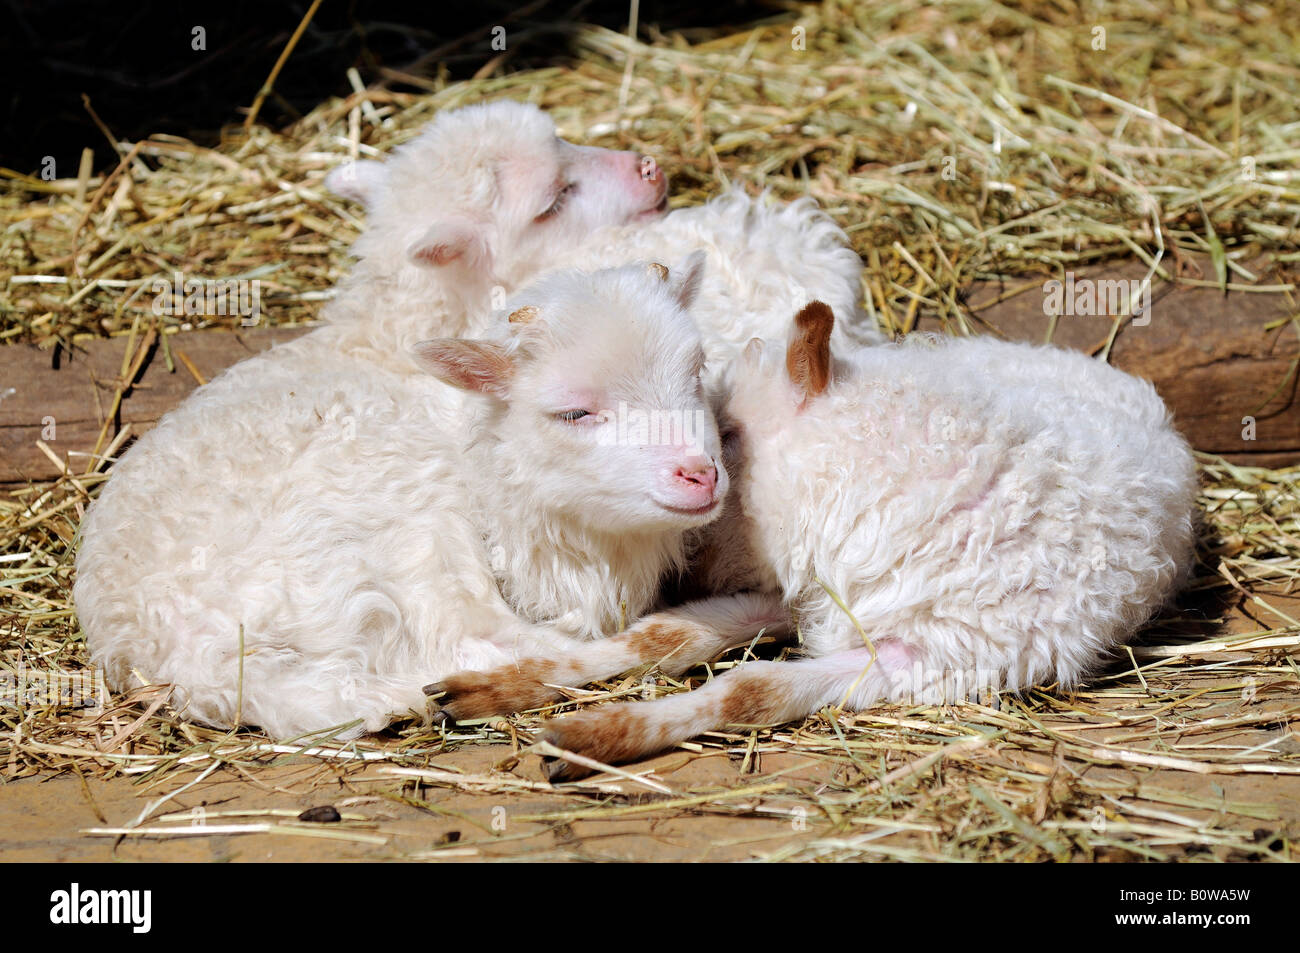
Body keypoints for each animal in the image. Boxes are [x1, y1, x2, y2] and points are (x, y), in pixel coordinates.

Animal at [430, 303, 1199, 780]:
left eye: (729, 433)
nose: (688, 558)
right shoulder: (806, 588)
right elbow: (666, 636)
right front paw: (495, 686)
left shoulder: (929, 655)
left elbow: (751, 691)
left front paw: (594, 738)